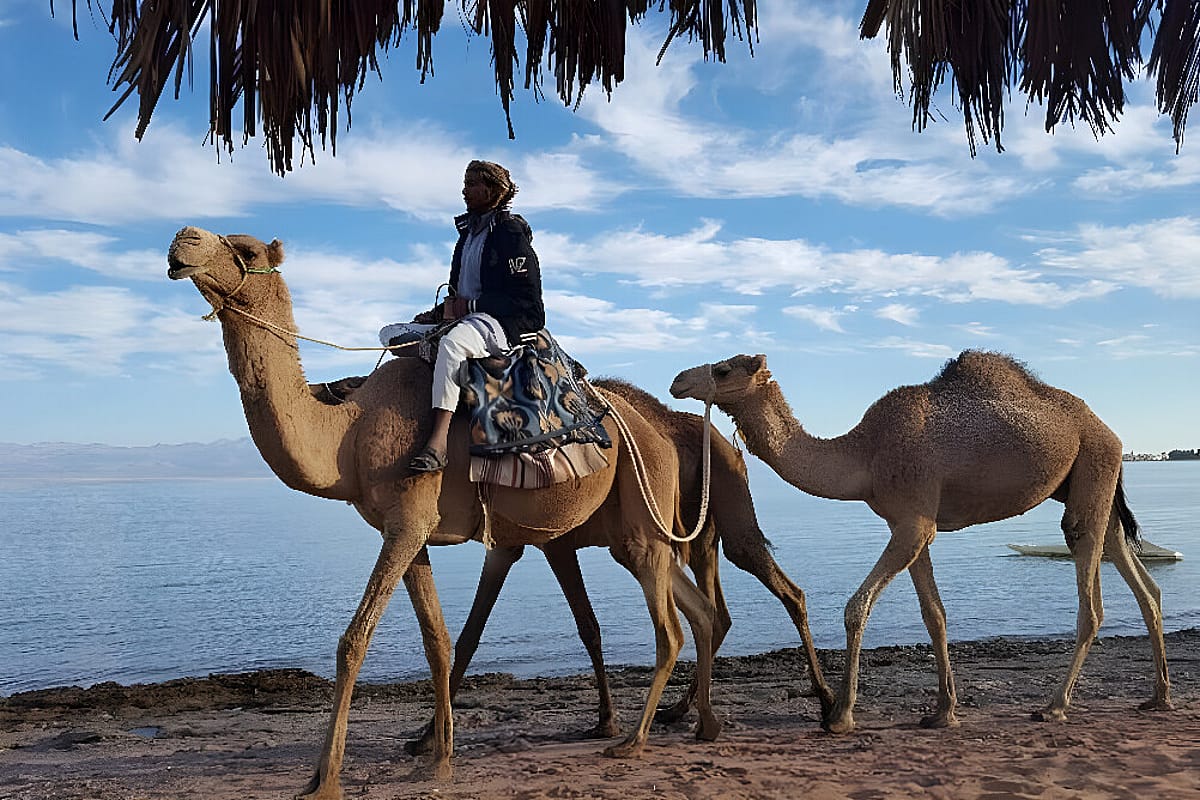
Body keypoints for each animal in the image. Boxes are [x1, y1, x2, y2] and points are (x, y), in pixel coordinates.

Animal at [165, 225, 721, 800]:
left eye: (247, 251)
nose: (183, 240)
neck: (349, 434)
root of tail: (656, 429)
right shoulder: (407, 532)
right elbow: (439, 640)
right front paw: (438, 758)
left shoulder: (408, 524)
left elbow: (353, 641)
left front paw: (326, 780)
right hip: (630, 530)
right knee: (699, 610)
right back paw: (703, 724)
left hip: (641, 505)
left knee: (671, 629)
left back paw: (633, 740)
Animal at [670, 351, 1173, 734]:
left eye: (722, 370)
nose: (677, 380)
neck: (865, 455)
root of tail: (1109, 431)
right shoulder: (912, 525)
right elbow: (935, 616)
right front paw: (942, 711)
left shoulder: (913, 521)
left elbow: (856, 607)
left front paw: (841, 714)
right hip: (1090, 481)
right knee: (1137, 573)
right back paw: (1159, 696)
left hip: (1093, 463)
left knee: (1090, 590)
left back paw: (1055, 705)